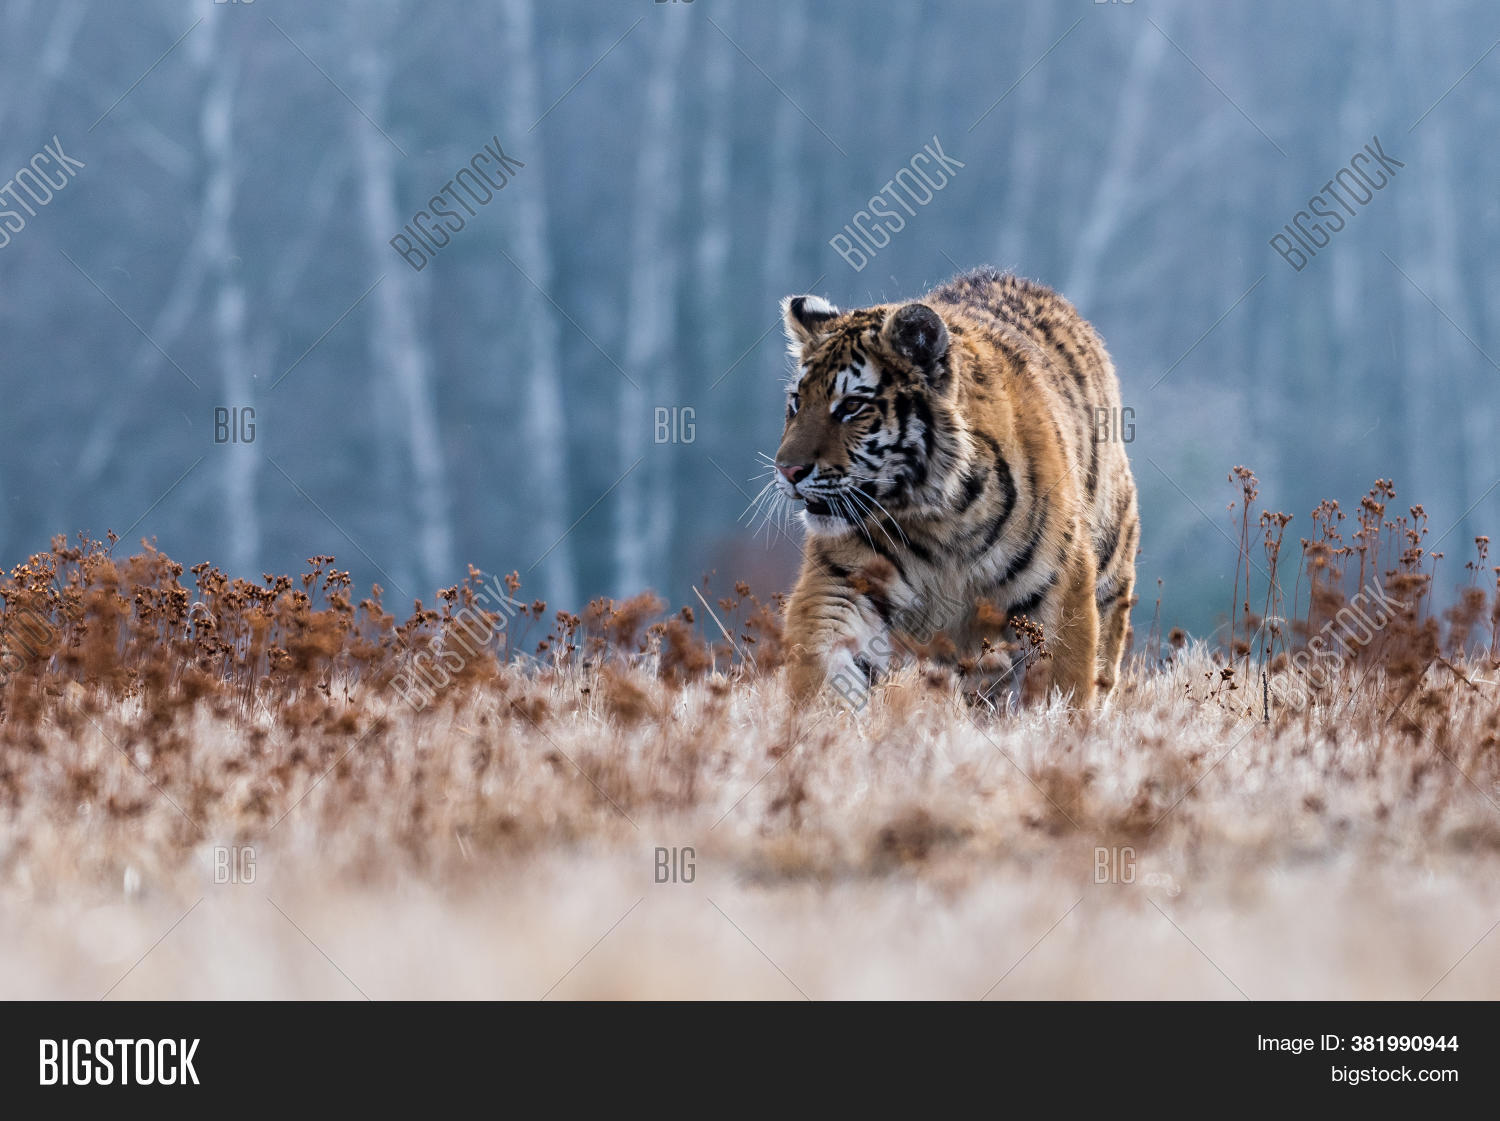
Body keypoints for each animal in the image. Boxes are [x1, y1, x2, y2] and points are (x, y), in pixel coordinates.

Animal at [769, 267, 1138, 709]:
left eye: (852, 406)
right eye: (795, 401)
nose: (787, 470)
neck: (940, 515)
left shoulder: (1060, 585)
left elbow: (1062, 685)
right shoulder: (844, 582)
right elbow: (824, 662)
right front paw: (814, 721)